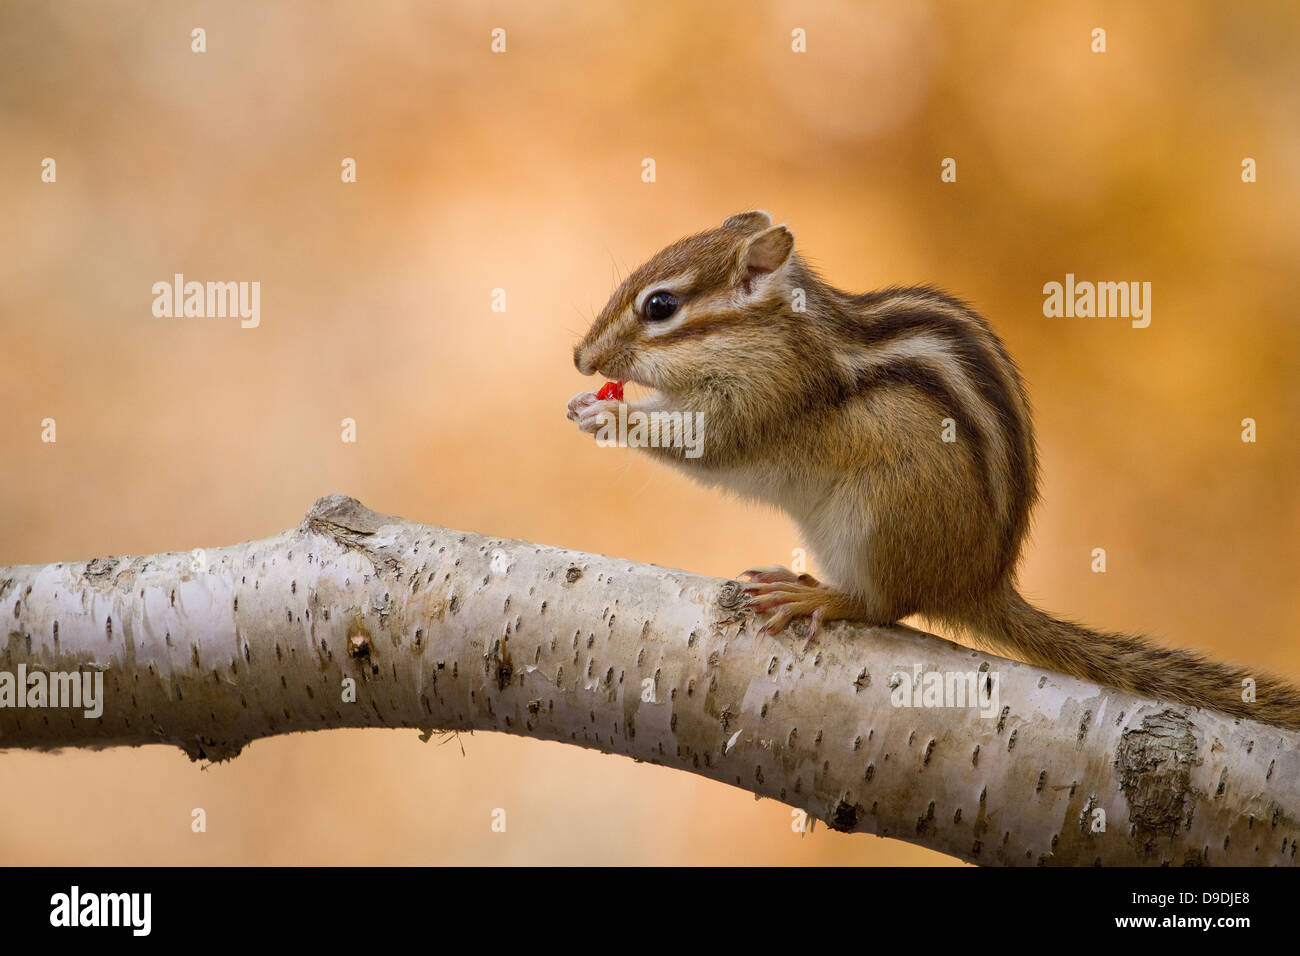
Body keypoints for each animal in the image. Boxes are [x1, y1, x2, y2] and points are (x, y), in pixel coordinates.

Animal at [566, 210, 1300, 731]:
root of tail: (981, 581)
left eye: (660, 307)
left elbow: (709, 444)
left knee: (886, 607)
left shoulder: (765, 399)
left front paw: (610, 417)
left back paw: (820, 598)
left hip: (875, 517)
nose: (580, 357)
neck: (776, 333)